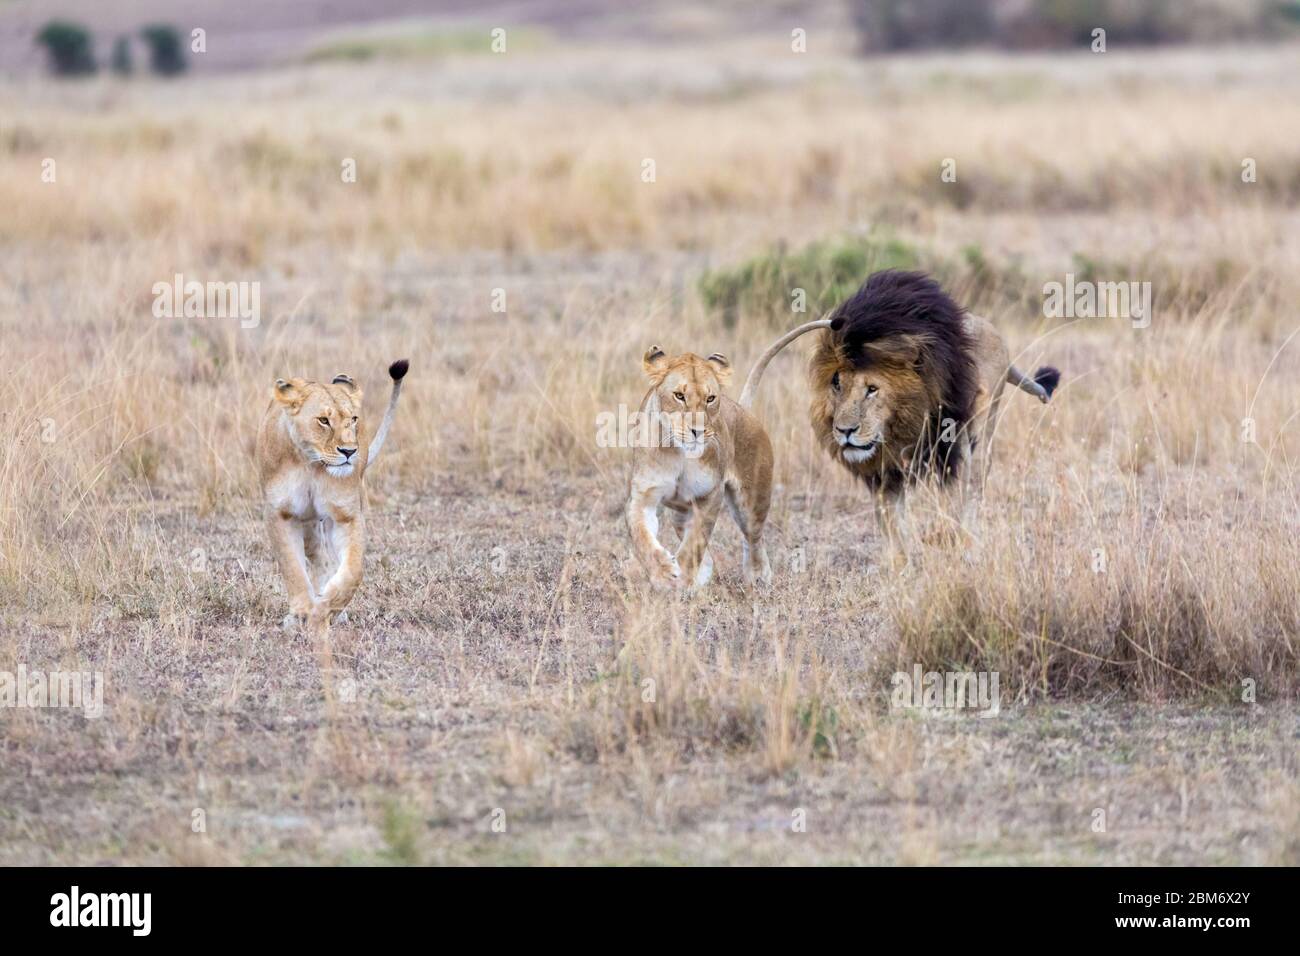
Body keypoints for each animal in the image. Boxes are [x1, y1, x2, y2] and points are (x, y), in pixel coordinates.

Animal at [256, 359, 409, 630]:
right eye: (323, 421)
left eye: (354, 419)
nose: (349, 451)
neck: (311, 463)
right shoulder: (279, 514)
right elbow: (292, 567)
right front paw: (301, 612)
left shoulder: (346, 515)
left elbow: (353, 570)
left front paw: (330, 603)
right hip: (308, 522)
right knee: (316, 554)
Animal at [625, 320, 831, 588]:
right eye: (679, 396)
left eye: (711, 398)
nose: (698, 431)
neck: (679, 454)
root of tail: (743, 409)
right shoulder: (643, 496)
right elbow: (642, 538)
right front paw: (664, 573)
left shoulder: (709, 497)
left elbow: (694, 544)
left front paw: (678, 573)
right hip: (680, 513)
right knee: (705, 553)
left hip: (751, 502)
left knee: (754, 540)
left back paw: (757, 577)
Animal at [800, 270, 1059, 547]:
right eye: (836, 384)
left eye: (872, 389)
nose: (845, 431)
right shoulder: (886, 473)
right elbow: (890, 521)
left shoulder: (952, 447)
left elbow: (955, 497)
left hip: (985, 424)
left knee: (976, 481)